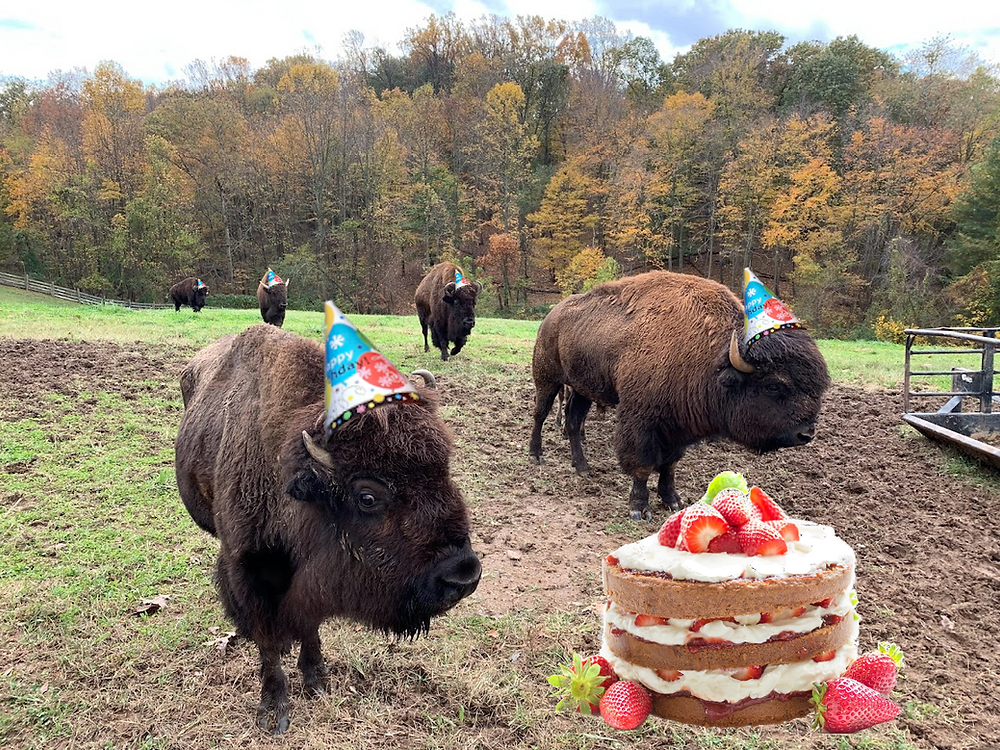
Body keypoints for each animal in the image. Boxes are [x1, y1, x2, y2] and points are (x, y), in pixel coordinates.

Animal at [175, 324, 481, 733]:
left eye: (444, 468)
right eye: (367, 497)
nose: (463, 577)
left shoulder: (312, 579)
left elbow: (309, 623)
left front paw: (316, 680)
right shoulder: (248, 567)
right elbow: (267, 637)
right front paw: (273, 709)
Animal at [528, 270, 830, 521]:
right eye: (774, 386)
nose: (806, 433)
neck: (711, 355)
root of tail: (552, 316)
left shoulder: (678, 425)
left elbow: (669, 464)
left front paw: (673, 500)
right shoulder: (640, 420)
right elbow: (642, 463)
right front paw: (640, 508)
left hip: (582, 389)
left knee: (573, 423)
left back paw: (582, 468)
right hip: (547, 378)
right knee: (540, 414)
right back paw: (536, 455)